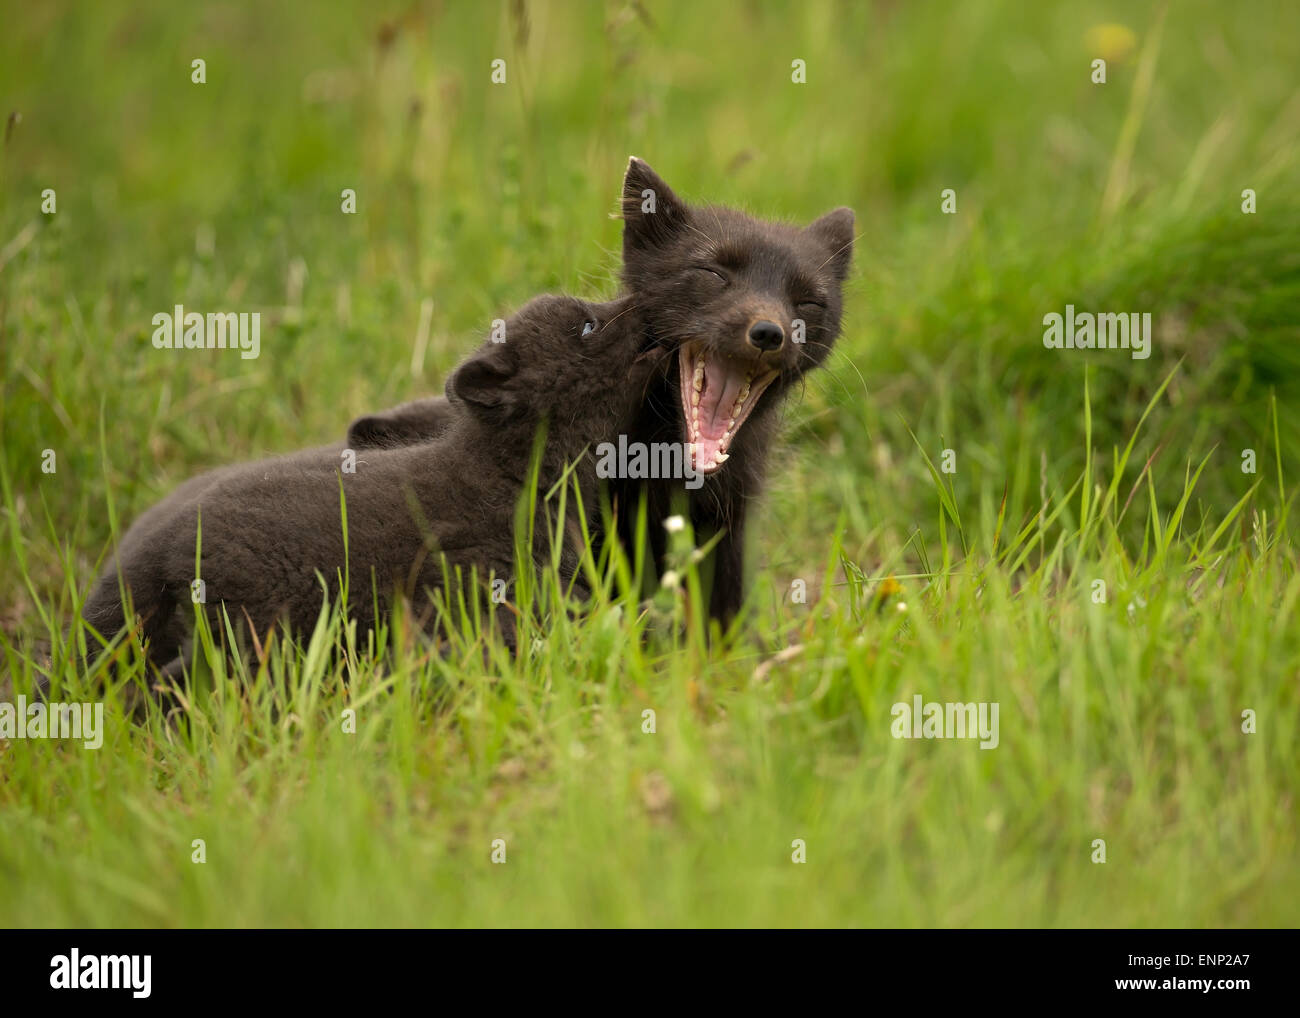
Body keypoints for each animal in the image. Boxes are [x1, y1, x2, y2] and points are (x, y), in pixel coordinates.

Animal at [74, 294, 662, 676]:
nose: (641, 299)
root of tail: (165, 544)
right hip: (256, 632)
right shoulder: (491, 580)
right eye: (587, 327)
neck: (514, 479)